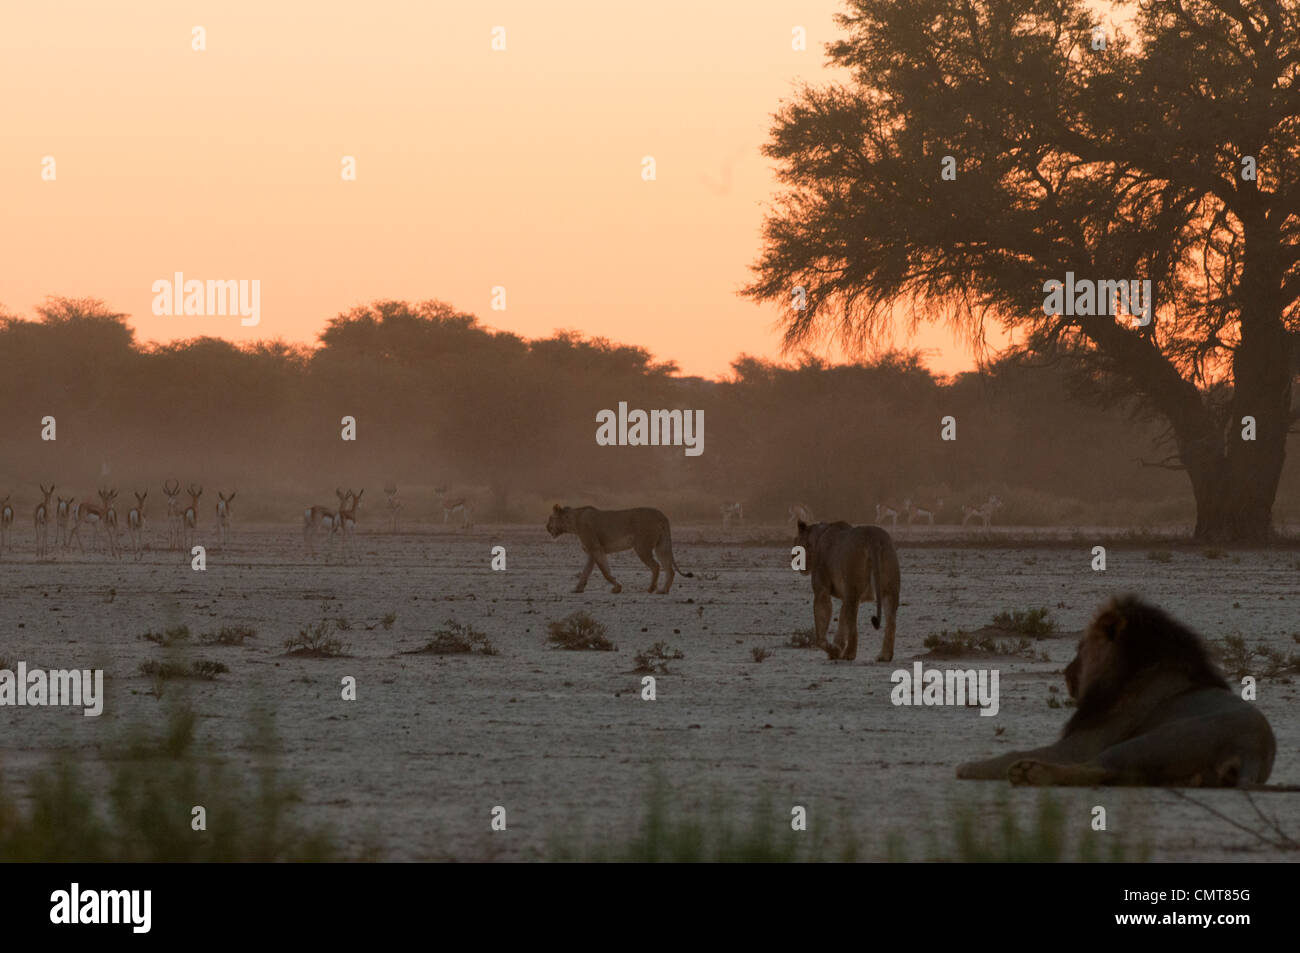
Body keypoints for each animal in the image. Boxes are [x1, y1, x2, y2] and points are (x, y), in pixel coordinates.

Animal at [546, 504, 693, 594]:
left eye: (550, 518)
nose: (546, 527)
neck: (574, 521)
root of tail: (662, 515)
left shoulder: (595, 548)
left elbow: (605, 571)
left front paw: (617, 587)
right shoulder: (592, 551)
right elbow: (586, 572)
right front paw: (577, 589)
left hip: (642, 547)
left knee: (656, 566)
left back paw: (651, 588)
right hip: (661, 546)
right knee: (670, 570)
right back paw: (663, 590)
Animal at [794, 520, 901, 662]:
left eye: (796, 544)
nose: (793, 559)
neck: (819, 536)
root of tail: (873, 537)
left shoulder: (822, 590)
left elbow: (821, 632)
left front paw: (833, 650)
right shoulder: (845, 595)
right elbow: (842, 620)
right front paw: (836, 648)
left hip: (853, 587)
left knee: (853, 627)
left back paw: (849, 654)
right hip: (890, 589)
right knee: (891, 622)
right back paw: (885, 655)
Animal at [956, 595, 1276, 787]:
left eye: (1080, 647)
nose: (1066, 674)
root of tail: (1253, 749)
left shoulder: (1080, 744)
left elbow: (1016, 751)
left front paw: (972, 766)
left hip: (1152, 741)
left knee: (1102, 769)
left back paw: (1031, 772)